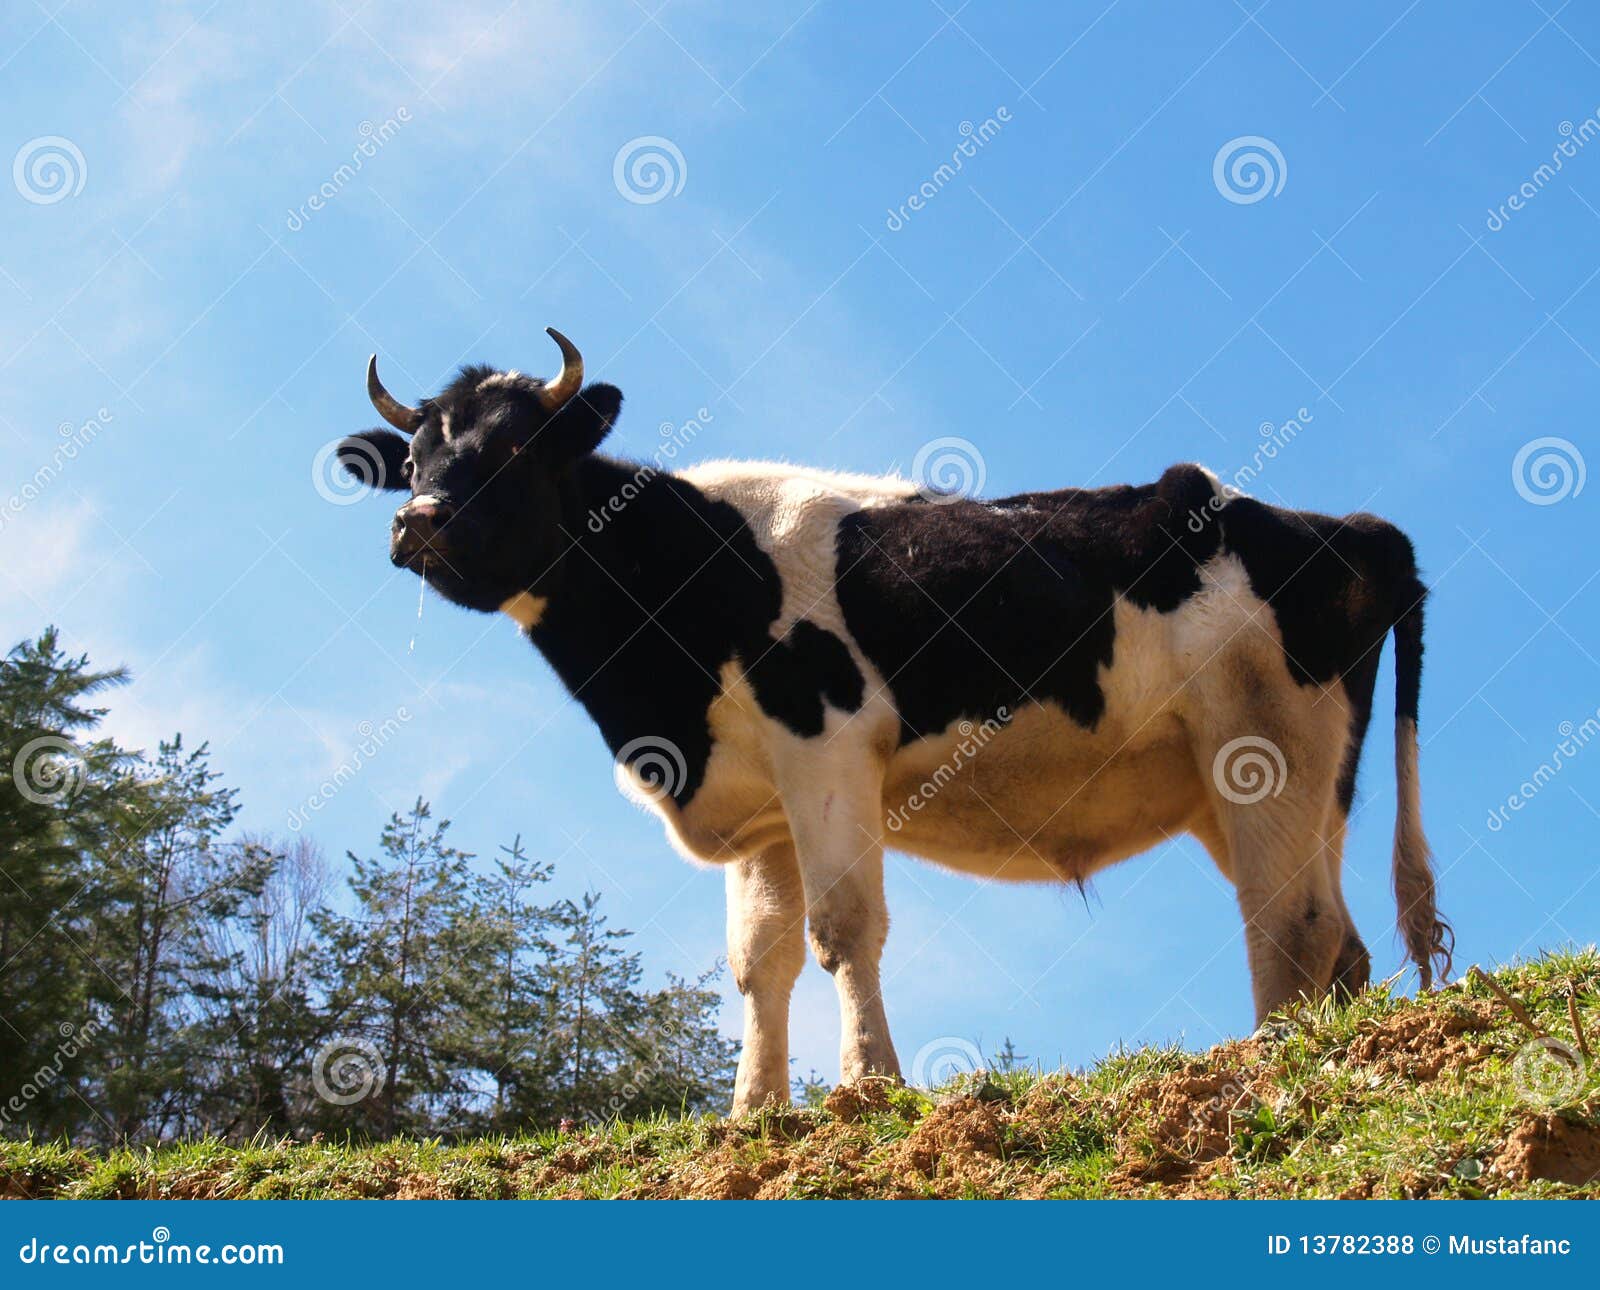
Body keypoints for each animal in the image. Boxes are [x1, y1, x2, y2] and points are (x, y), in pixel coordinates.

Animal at [338, 327, 1451, 1114]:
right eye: (419, 457)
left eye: (514, 448)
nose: (415, 525)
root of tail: (1348, 525)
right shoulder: (762, 806)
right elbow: (760, 965)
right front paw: (753, 1115)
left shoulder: (825, 748)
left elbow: (843, 930)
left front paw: (869, 1085)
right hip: (1289, 778)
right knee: (1339, 938)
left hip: (1260, 746)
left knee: (1290, 921)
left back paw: (1270, 1055)